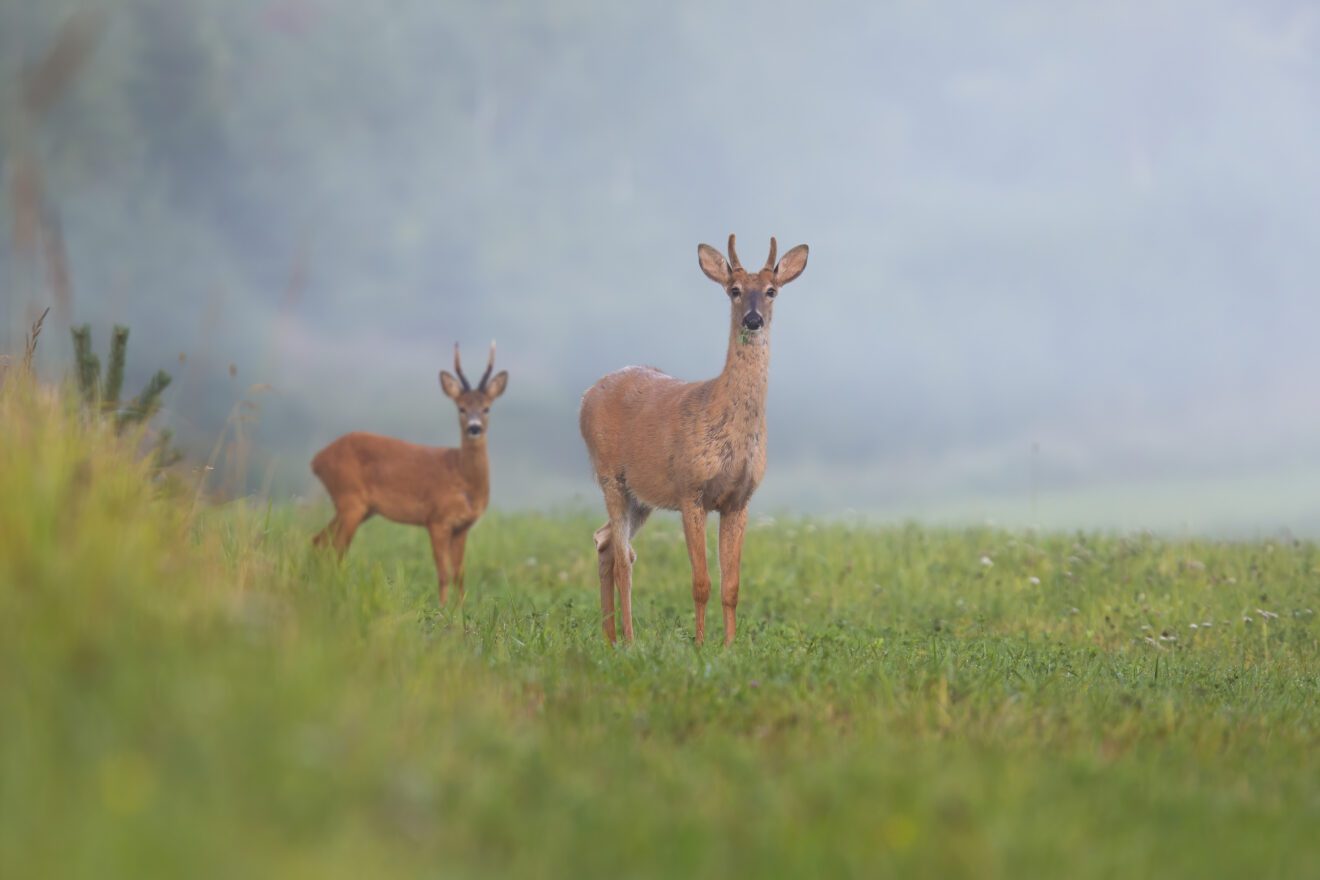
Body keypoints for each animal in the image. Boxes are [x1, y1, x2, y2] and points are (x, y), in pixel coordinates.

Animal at [311, 342, 508, 605]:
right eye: (461, 408)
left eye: (487, 408)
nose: (474, 428)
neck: (463, 480)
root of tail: (317, 460)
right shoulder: (436, 519)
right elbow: (443, 572)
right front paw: (443, 610)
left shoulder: (462, 527)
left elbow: (460, 574)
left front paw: (461, 610)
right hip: (349, 498)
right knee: (337, 549)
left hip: (360, 508)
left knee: (319, 541)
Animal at [579, 234, 809, 646]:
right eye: (734, 290)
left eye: (772, 290)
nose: (753, 319)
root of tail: (586, 396)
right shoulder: (691, 490)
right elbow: (701, 582)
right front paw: (701, 645)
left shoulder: (740, 500)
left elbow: (731, 585)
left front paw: (730, 646)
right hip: (610, 476)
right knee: (623, 557)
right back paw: (630, 639)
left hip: (641, 497)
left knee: (604, 541)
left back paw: (610, 637)